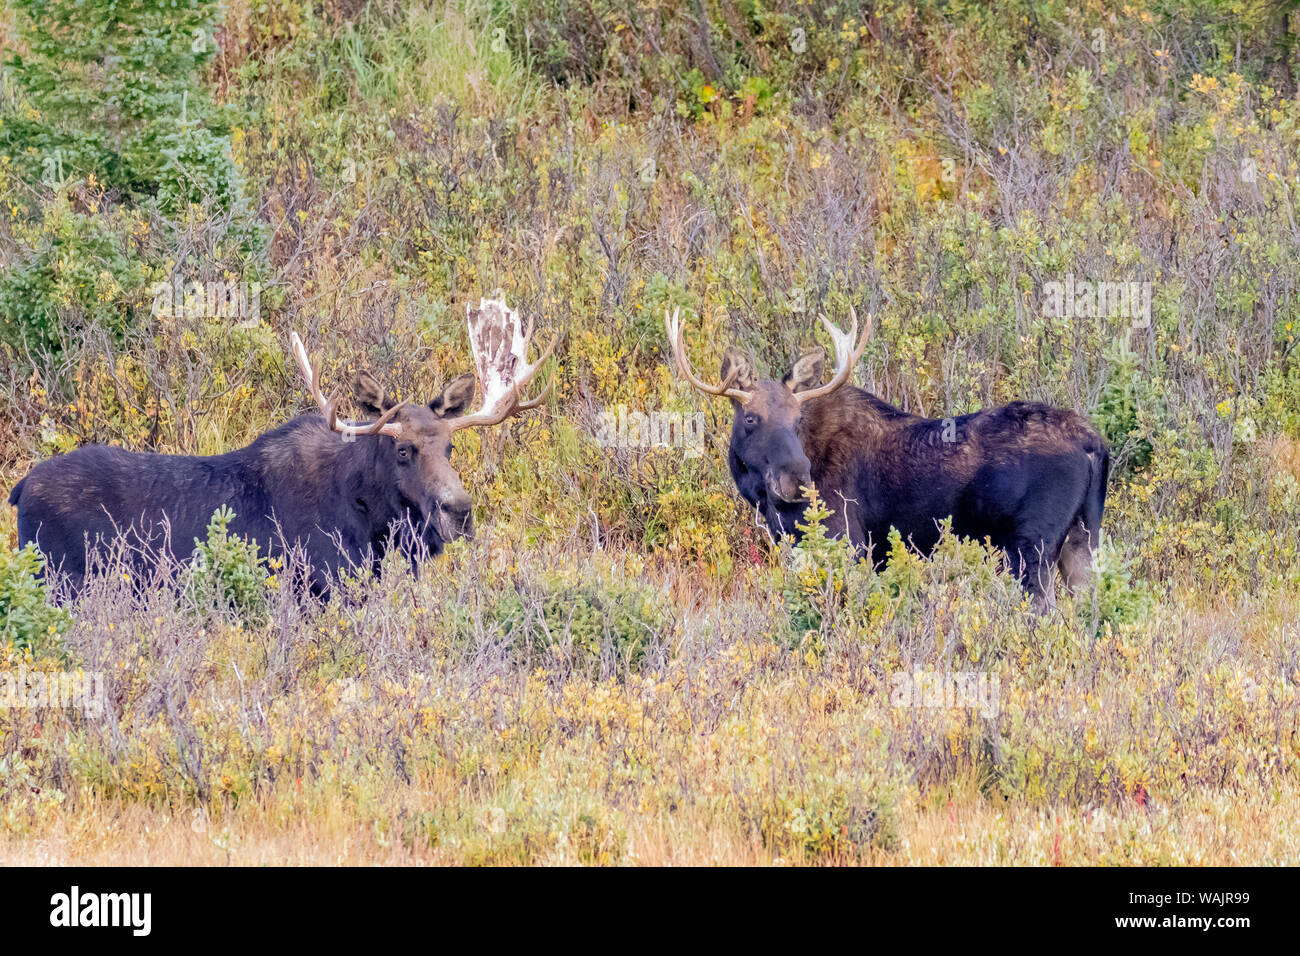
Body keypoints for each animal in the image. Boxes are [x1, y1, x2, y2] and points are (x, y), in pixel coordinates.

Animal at [8, 299, 554, 593]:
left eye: (450, 449)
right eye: (403, 451)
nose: (459, 511)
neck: (372, 523)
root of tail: (18, 490)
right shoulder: (319, 585)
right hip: (60, 582)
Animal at [665, 306, 1110, 600]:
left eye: (796, 418)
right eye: (751, 417)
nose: (797, 480)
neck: (760, 499)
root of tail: (1095, 445)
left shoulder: (847, 542)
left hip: (1030, 547)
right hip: (1081, 542)